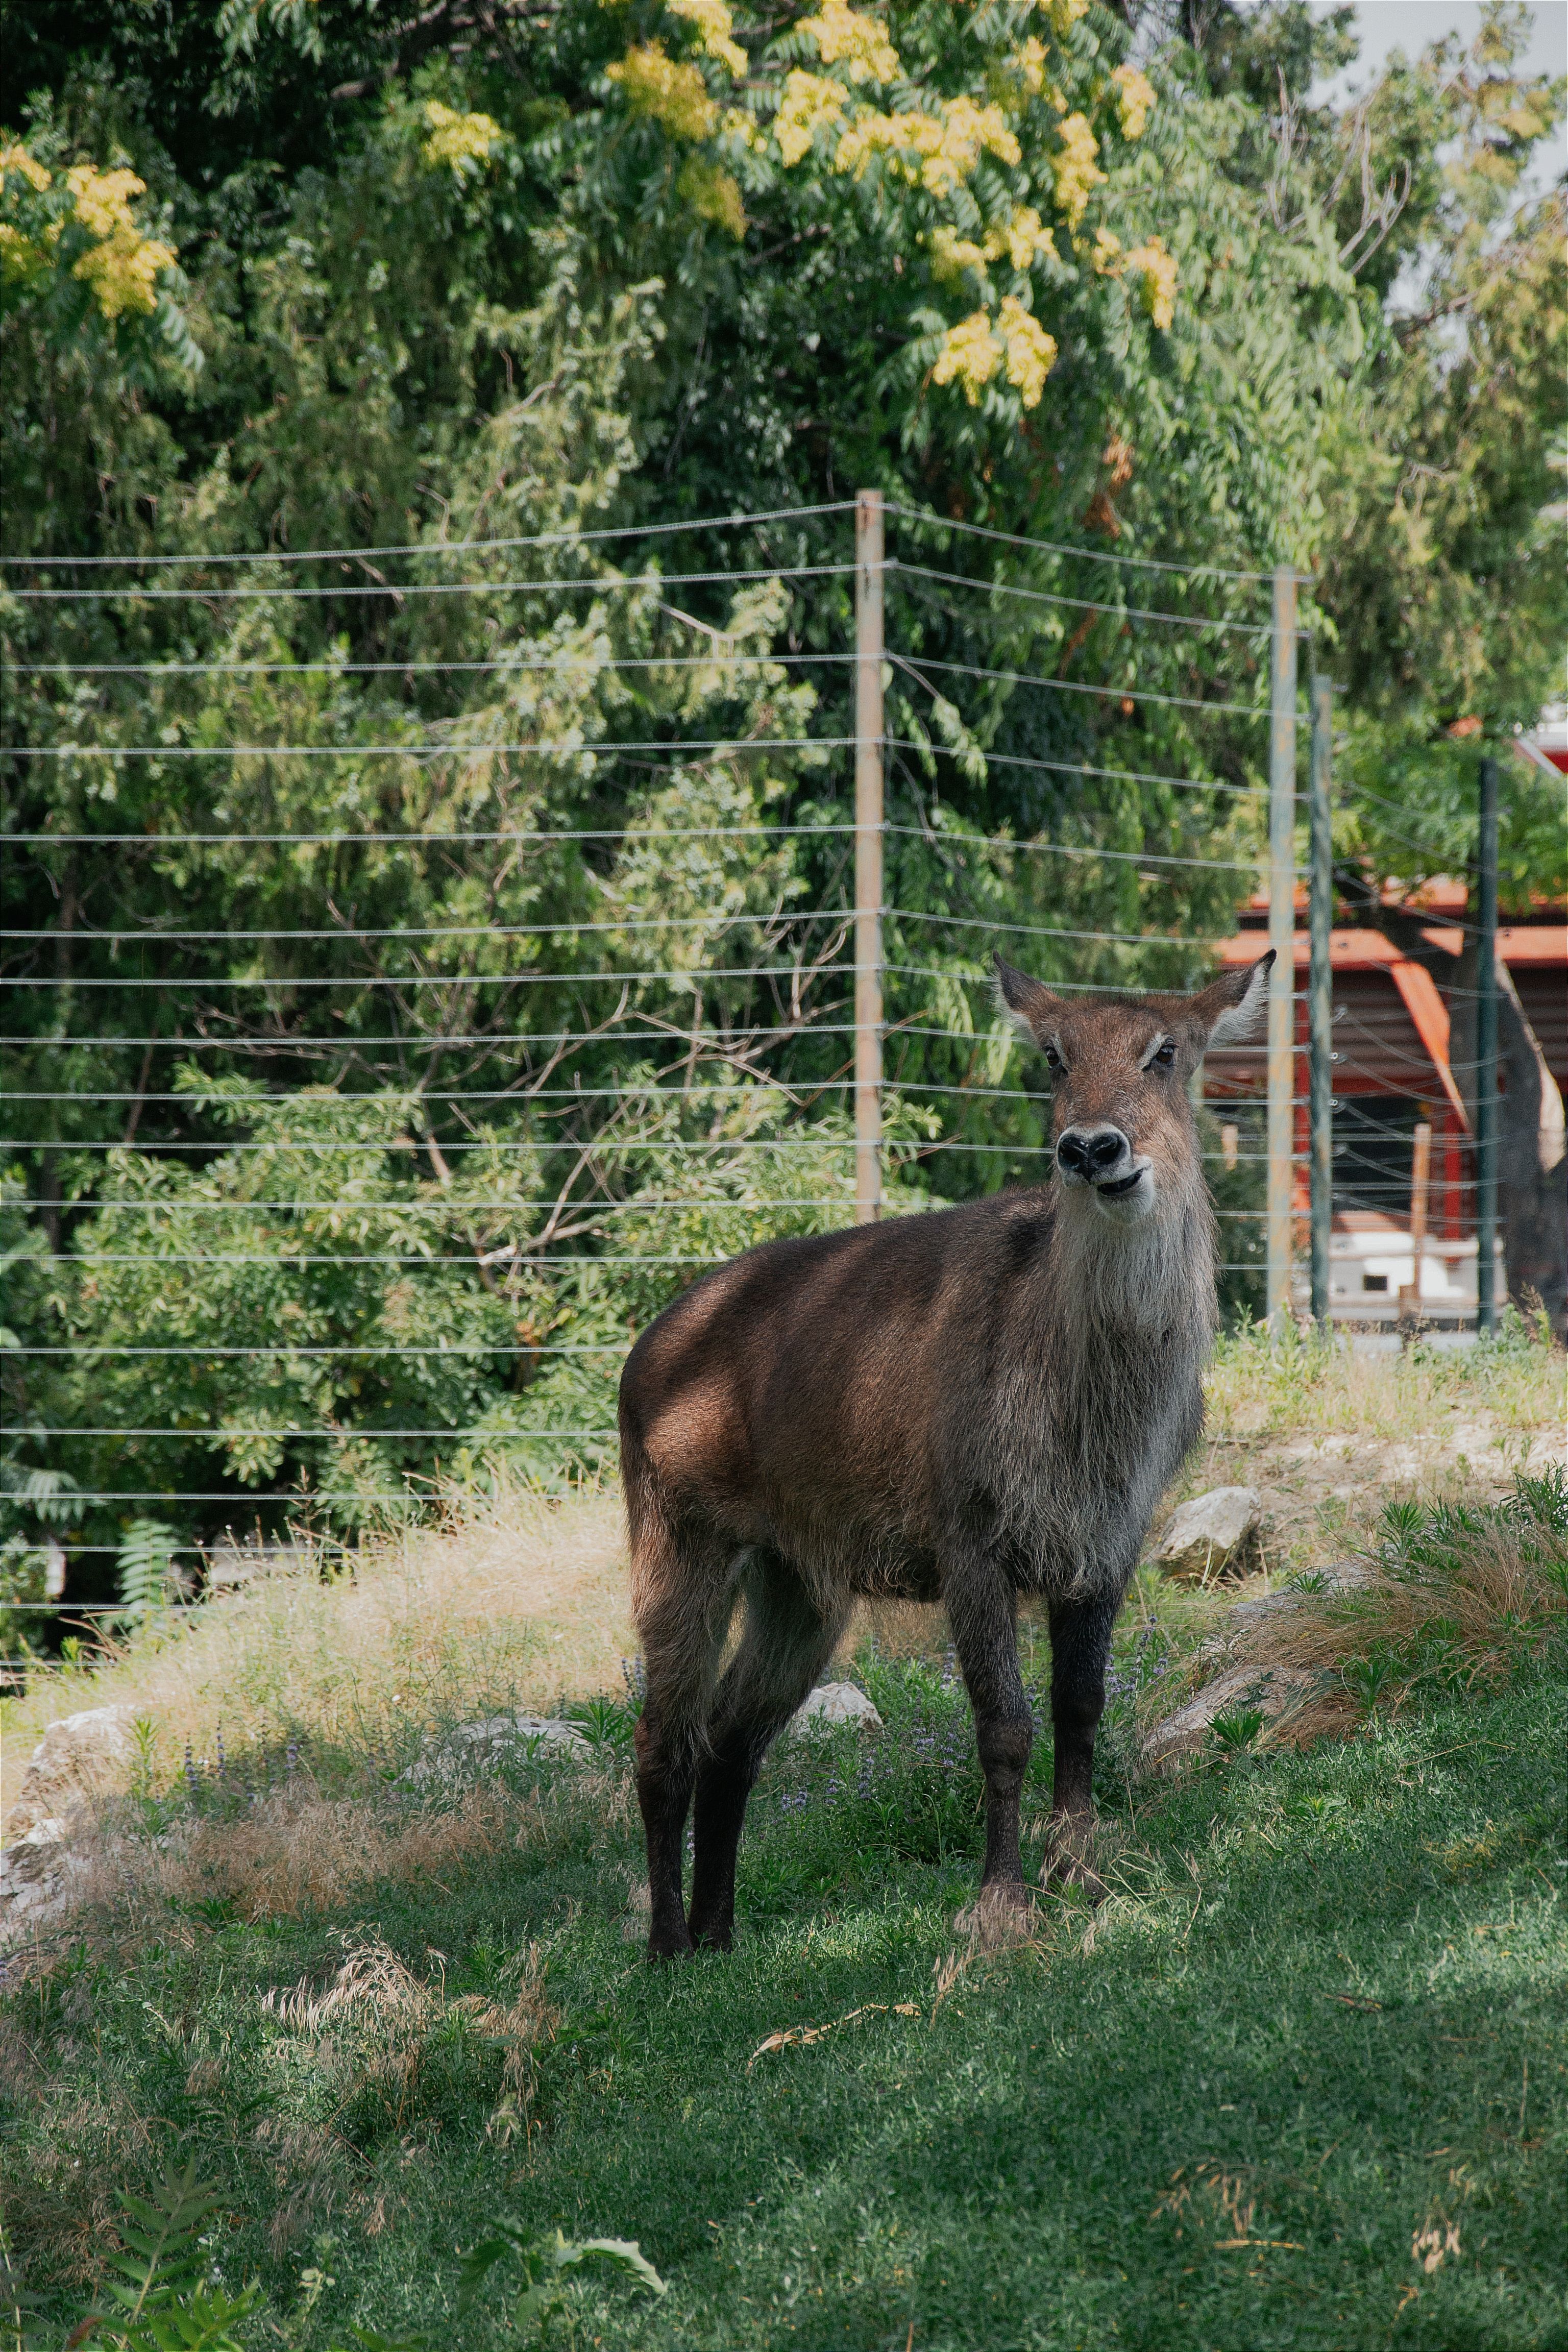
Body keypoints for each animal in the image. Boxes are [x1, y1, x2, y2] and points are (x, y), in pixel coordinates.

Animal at [619, 949, 1274, 1957]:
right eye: (1053, 1055)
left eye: (1166, 1050)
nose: (1092, 1149)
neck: (1092, 1407)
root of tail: (642, 1351)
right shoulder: (971, 1543)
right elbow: (1003, 1727)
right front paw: (1000, 1905)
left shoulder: (1105, 1546)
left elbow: (1081, 1707)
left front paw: (1080, 1872)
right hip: (679, 1541)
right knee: (663, 1742)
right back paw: (665, 1948)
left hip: (799, 1584)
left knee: (731, 1741)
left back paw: (720, 1938)